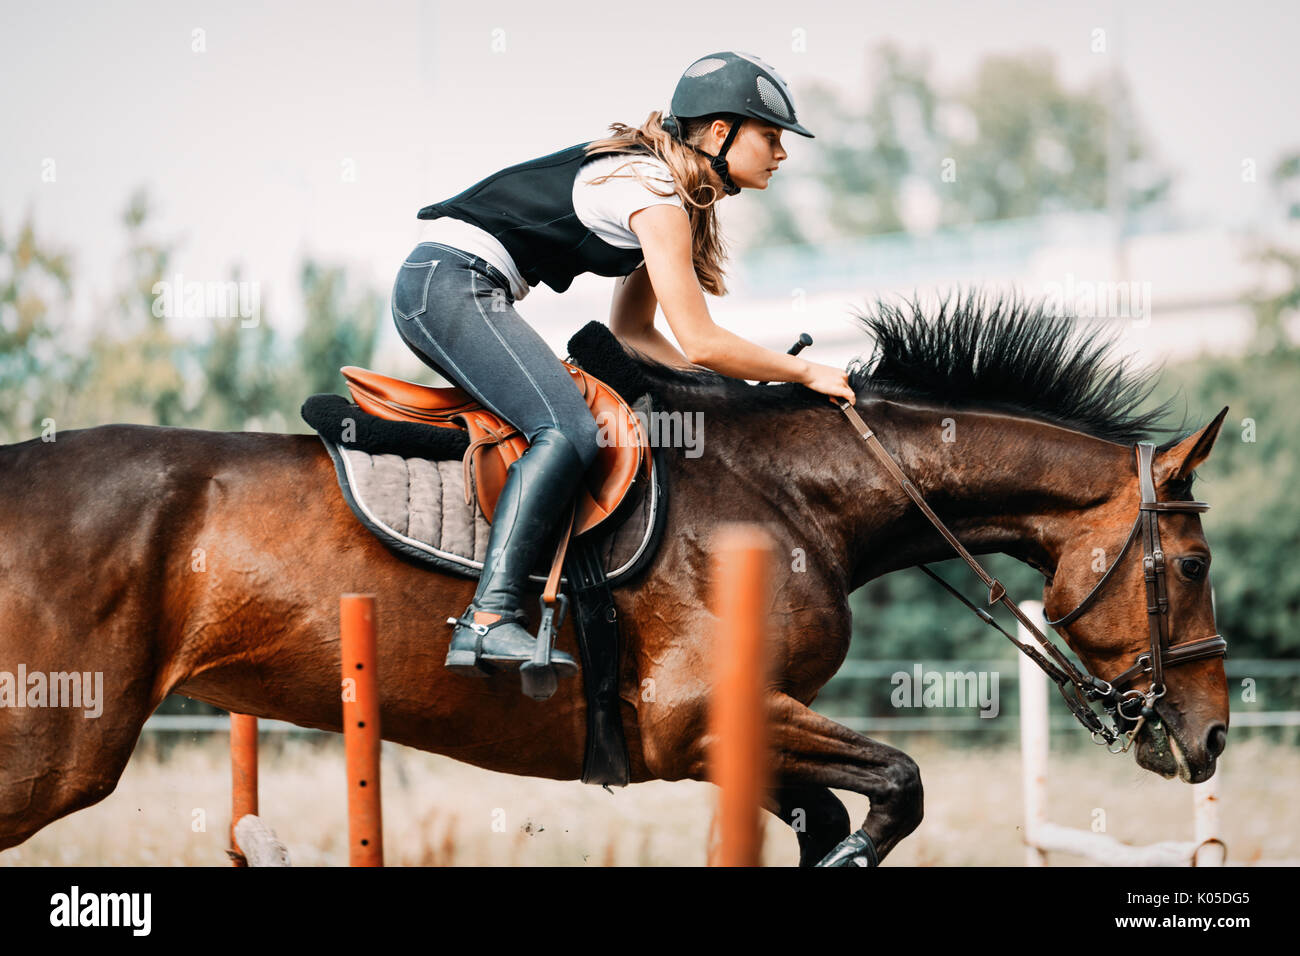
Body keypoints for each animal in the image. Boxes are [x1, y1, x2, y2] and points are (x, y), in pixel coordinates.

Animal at [0, 293, 1230, 865]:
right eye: (1191, 562)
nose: (1210, 735)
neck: (799, 491)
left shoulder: (719, 734)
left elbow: (838, 800)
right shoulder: (698, 715)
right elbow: (898, 783)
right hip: (56, 745)